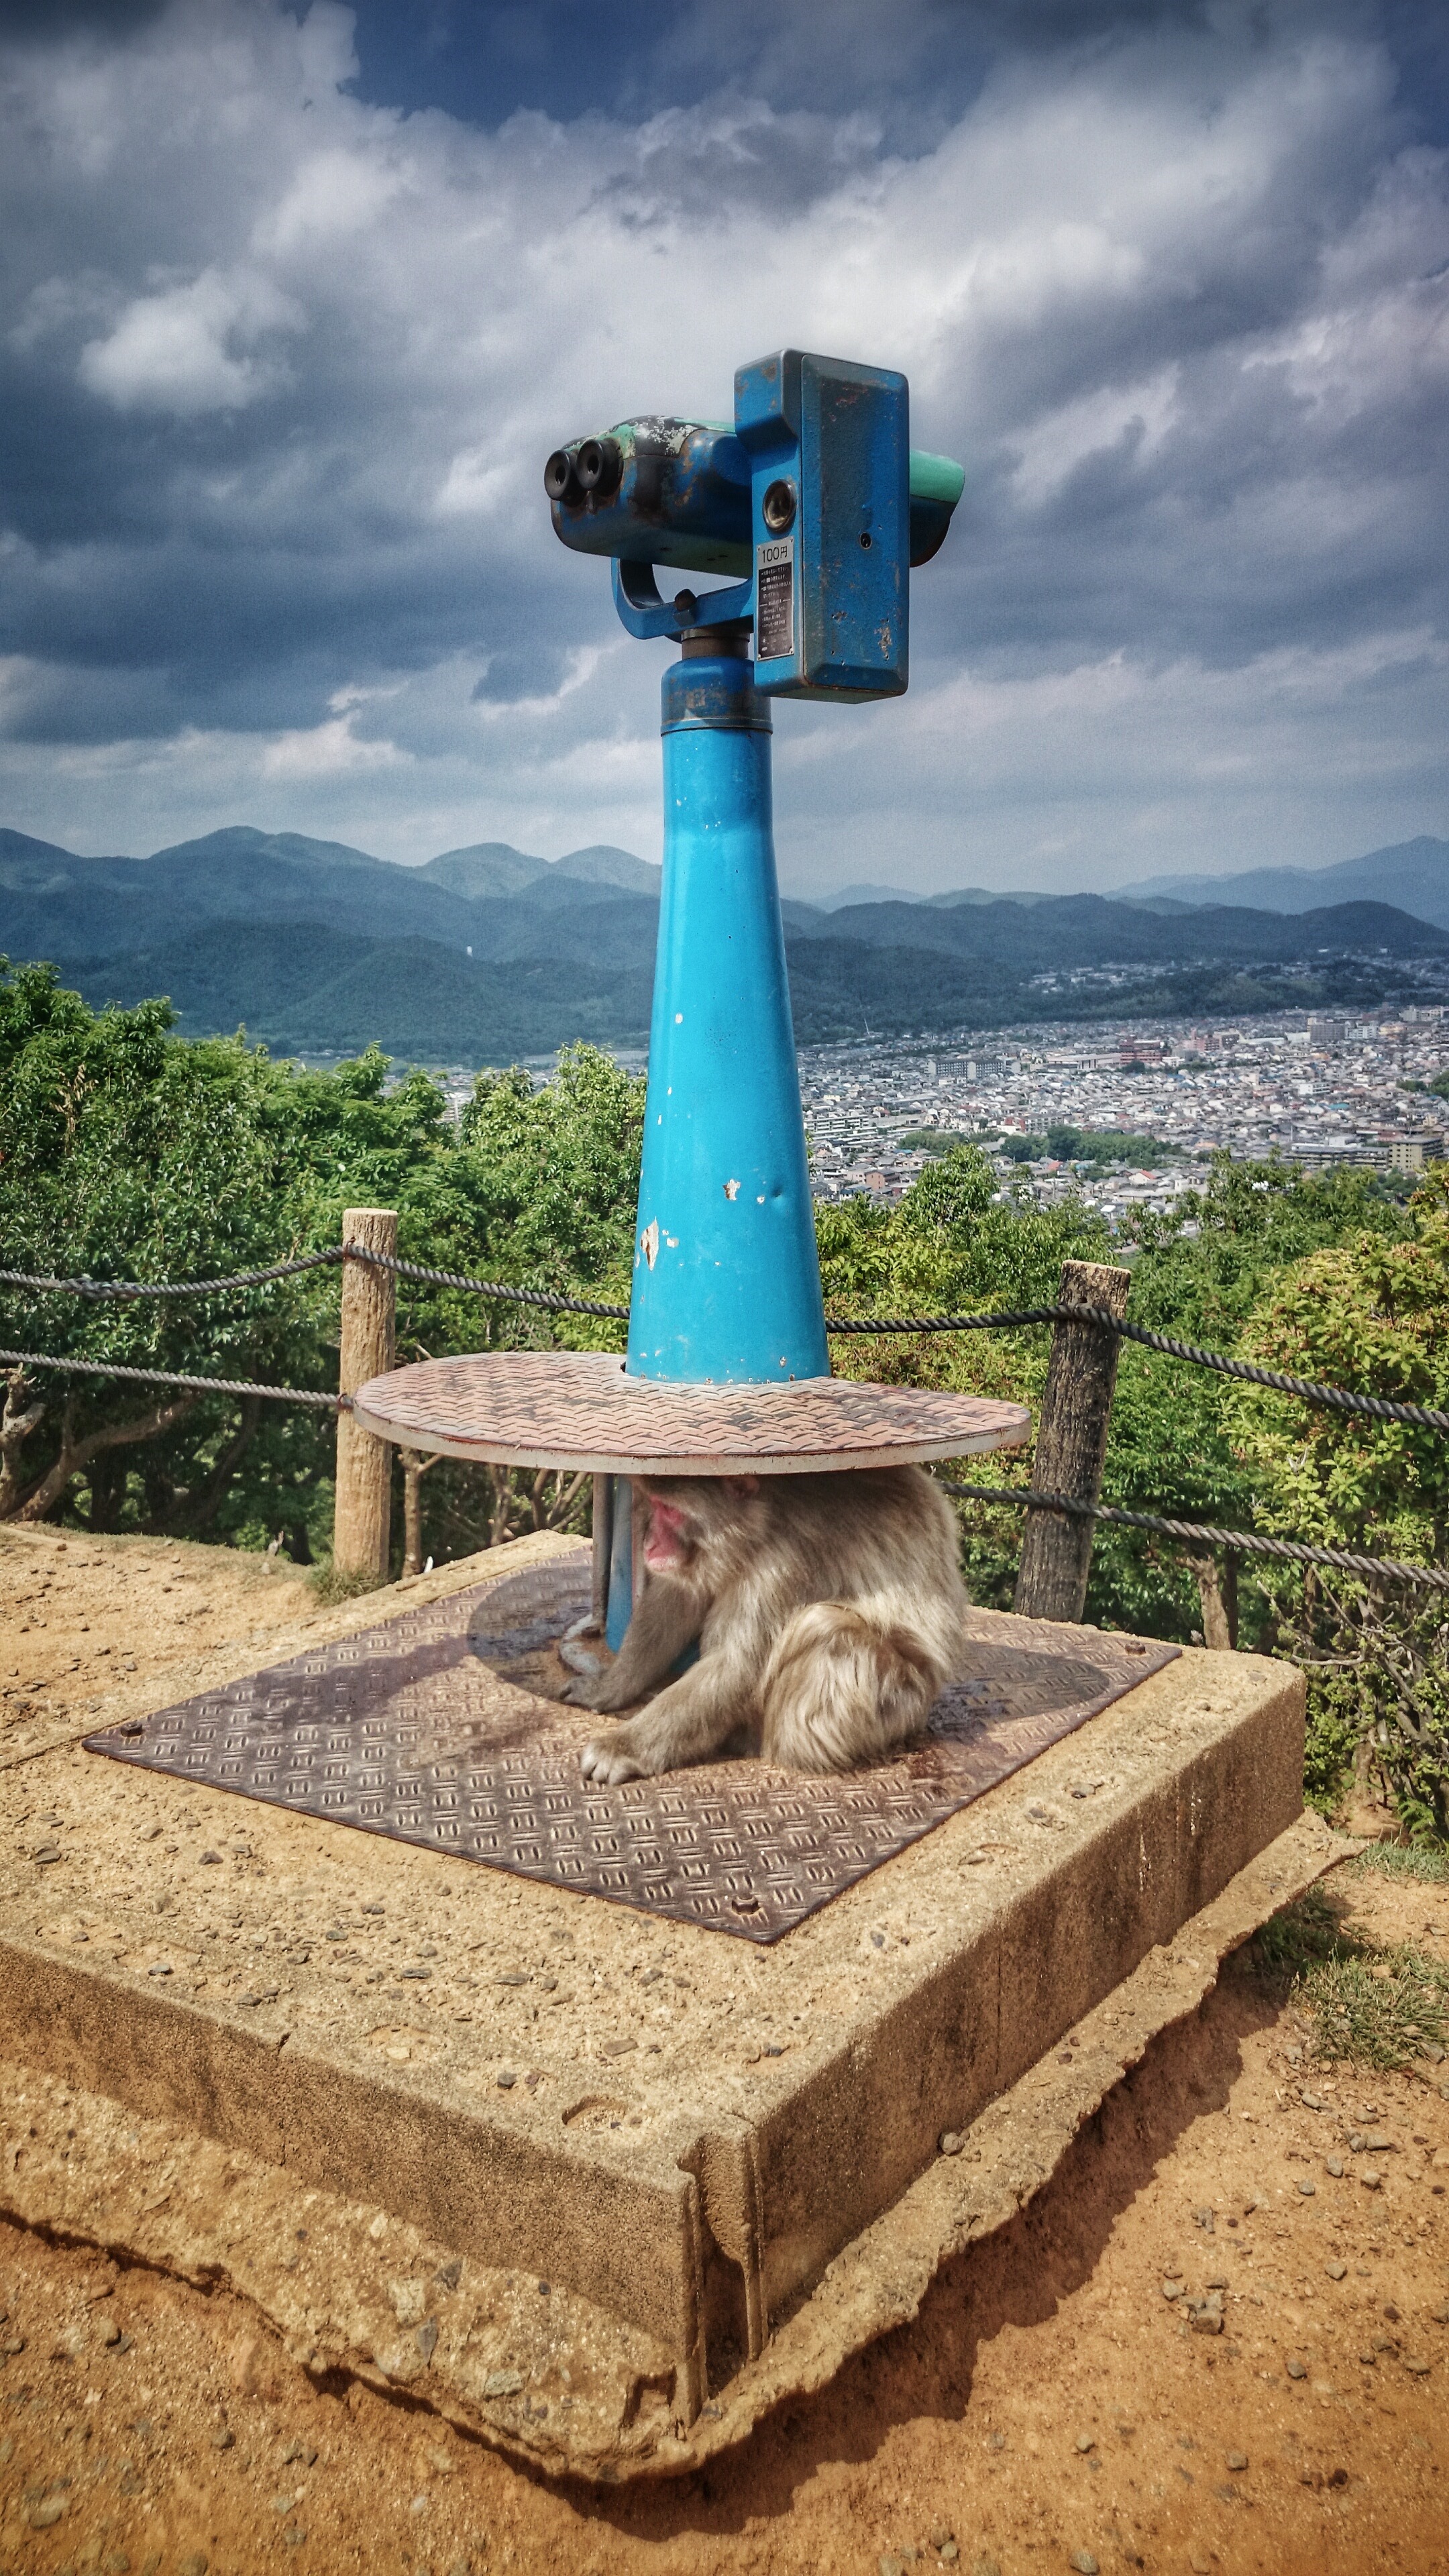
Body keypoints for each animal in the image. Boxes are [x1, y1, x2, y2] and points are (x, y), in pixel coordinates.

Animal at [569, 1465, 968, 1785]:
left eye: (670, 1511)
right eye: (653, 1505)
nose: (650, 1544)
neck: (758, 1525)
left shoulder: (782, 1563)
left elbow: (736, 1666)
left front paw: (623, 1748)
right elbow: (678, 1599)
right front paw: (610, 1687)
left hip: (903, 1701)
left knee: (825, 1627)